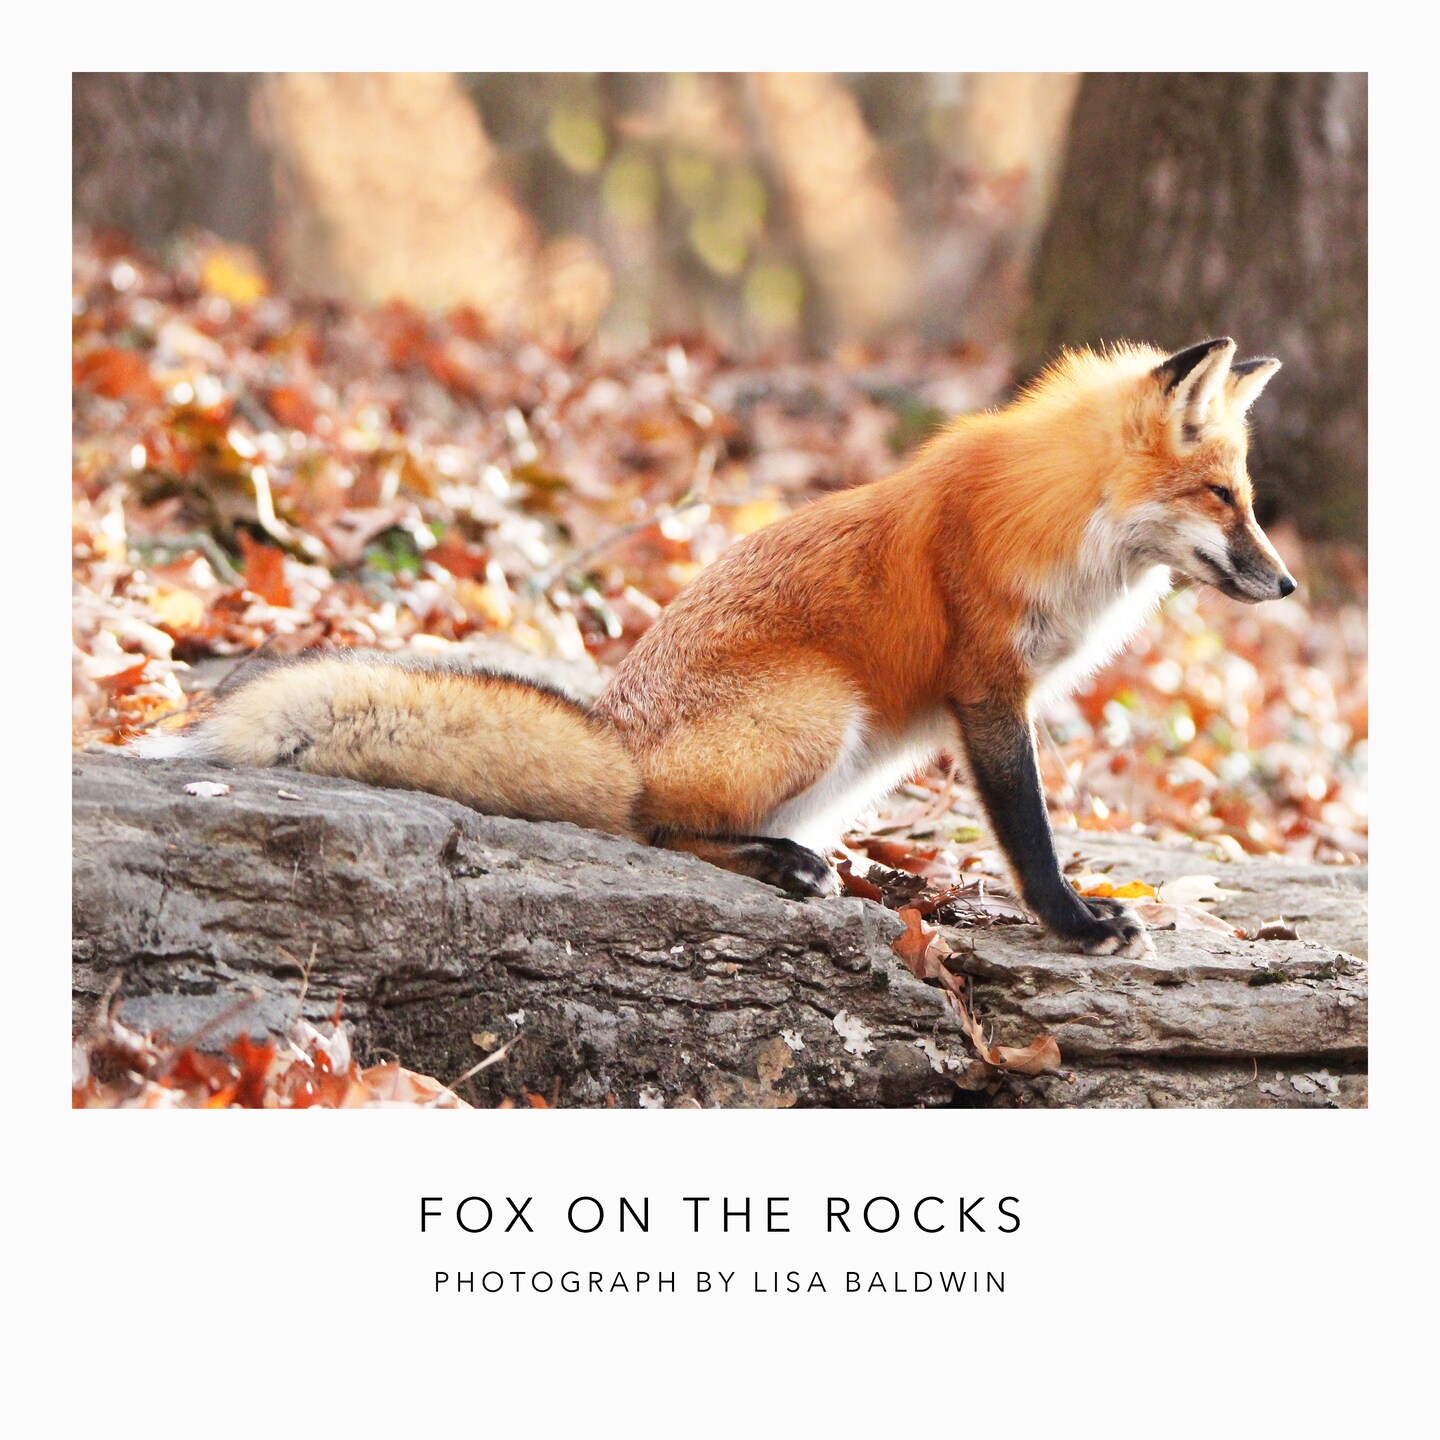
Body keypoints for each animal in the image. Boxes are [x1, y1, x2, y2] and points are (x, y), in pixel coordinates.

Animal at [133, 337, 1294, 959]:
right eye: (1222, 497)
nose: (1285, 584)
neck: (1064, 525)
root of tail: (614, 730)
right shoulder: (987, 688)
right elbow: (1031, 834)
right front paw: (1074, 923)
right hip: (822, 713)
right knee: (647, 825)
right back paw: (780, 866)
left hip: (857, 756)